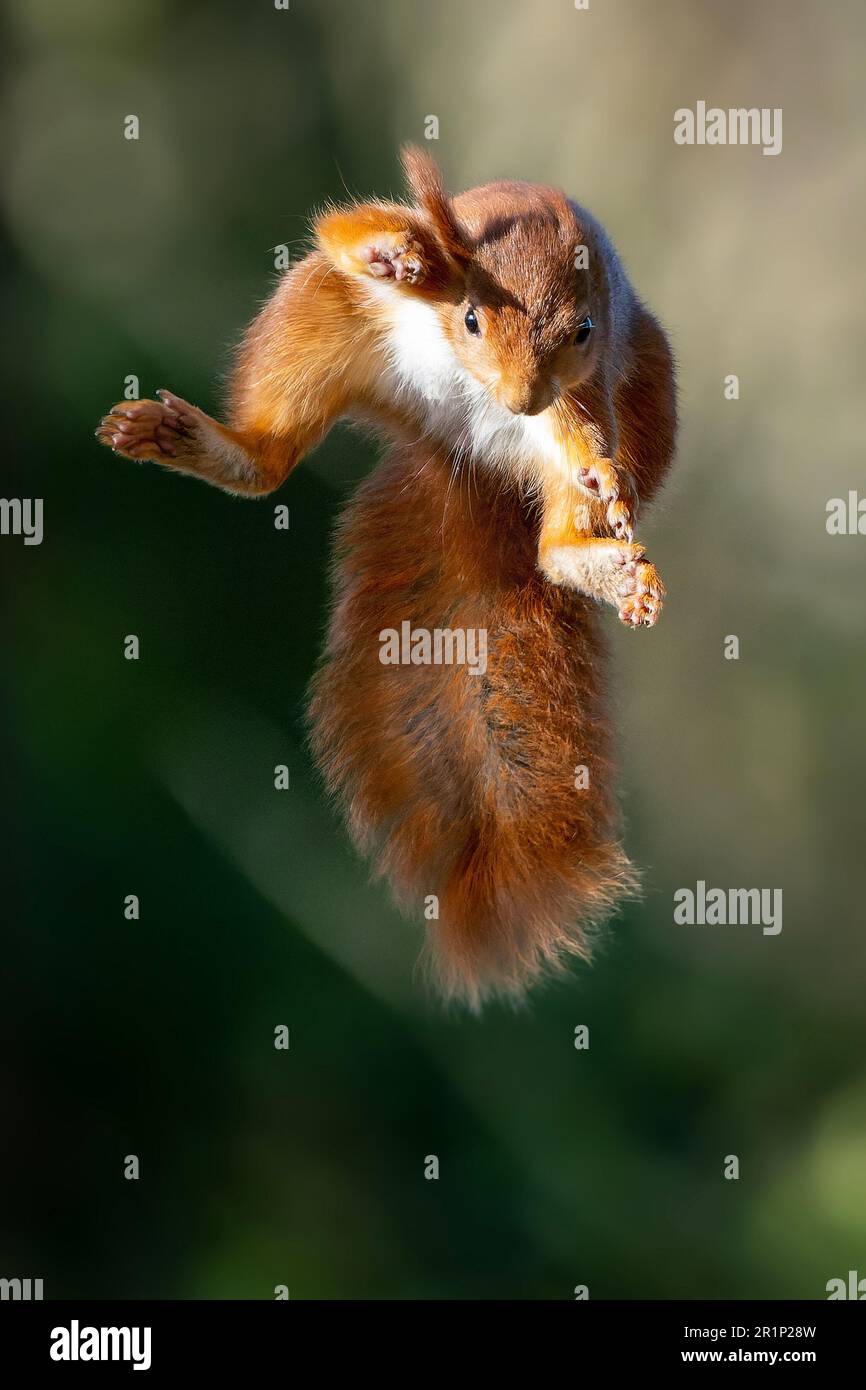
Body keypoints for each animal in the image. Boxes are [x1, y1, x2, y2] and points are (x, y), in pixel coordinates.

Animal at [97, 147, 677, 1009]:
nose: (520, 397)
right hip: (315, 327)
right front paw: (400, 257)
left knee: (552, 543)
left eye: (581, 331)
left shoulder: (587, 384)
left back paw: (596, 560)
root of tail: (454, 443)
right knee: (269, 453)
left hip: (586, 418)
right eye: (471, 320)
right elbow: (348, 228)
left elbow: (589, 445)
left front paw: (607, 478)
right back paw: (201, 442)